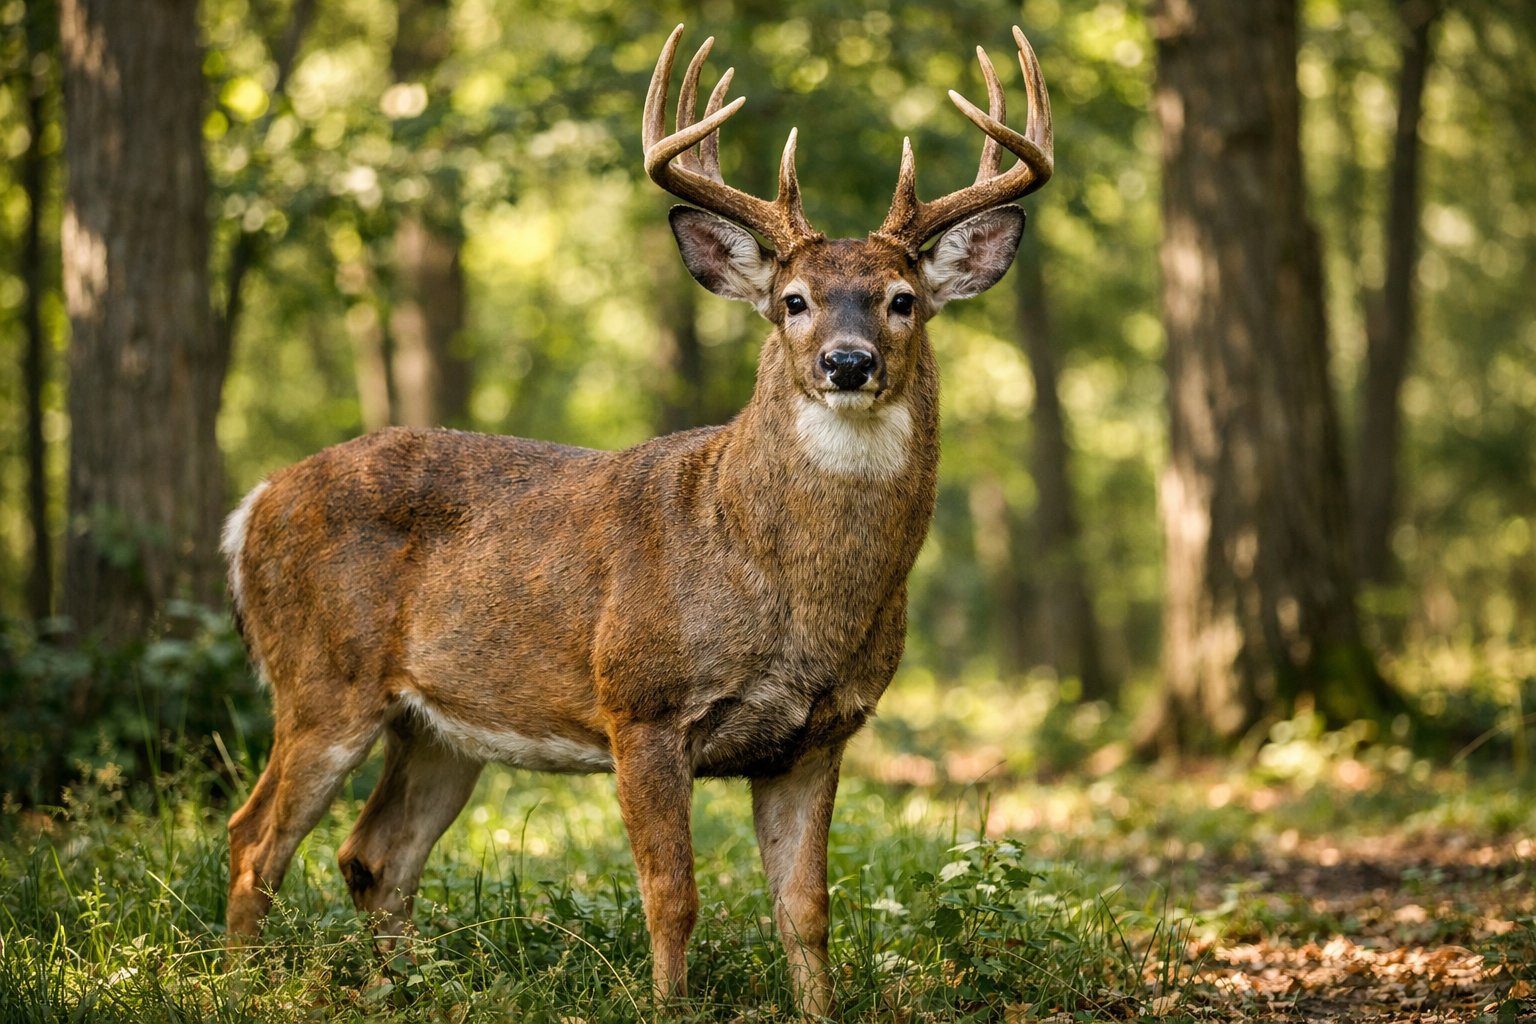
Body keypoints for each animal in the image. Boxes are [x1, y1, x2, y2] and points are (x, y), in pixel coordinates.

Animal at [222, 23, 1051, 1015]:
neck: (776, 580)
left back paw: (399, 990)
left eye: (904, 300)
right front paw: (668, 1004)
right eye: (793, 301)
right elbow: (672, 895)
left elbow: (806, 910)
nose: (847, 363)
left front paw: (817, 1007)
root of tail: (254, 506)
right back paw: (235, 984)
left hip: (439, 725)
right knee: (253, 840)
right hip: (320, 677)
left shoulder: (821, 733)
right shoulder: (641, 705)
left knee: (373, 854)